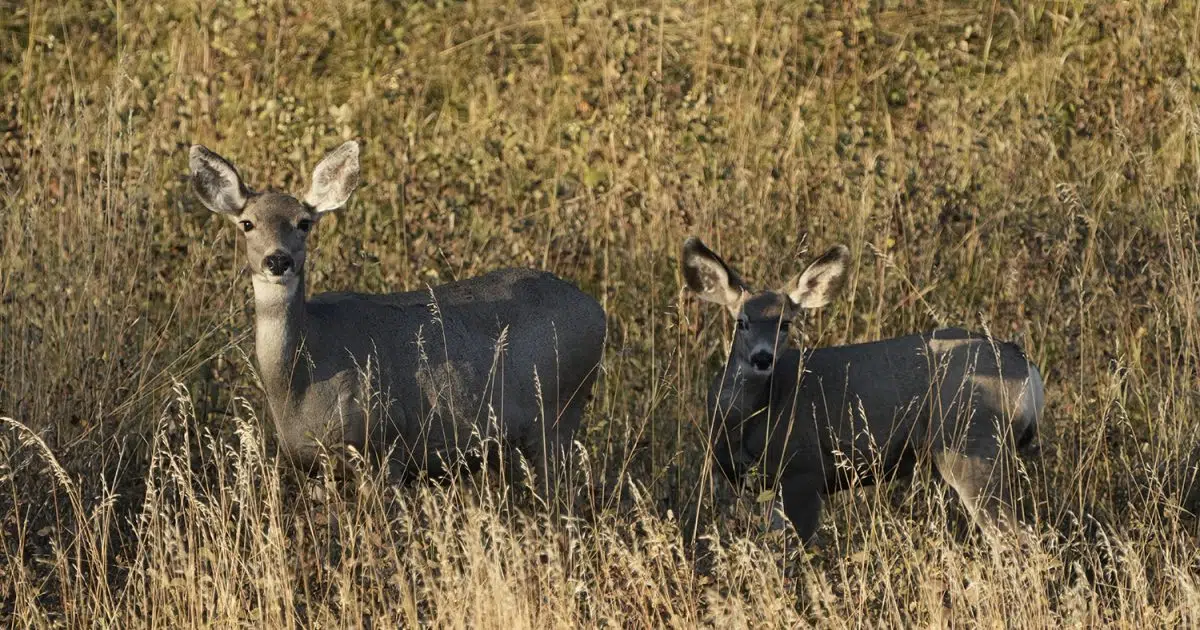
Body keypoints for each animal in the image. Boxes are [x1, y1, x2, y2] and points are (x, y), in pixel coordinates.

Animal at [188, 140, 606, 490]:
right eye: (247, 223)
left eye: (304, 223)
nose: (278, 260)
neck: (299, 381)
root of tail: (597, 311)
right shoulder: (317, 467)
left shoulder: (384, 443)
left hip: (557, 415)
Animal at [682, 237, 1044, 542]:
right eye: (741, 322)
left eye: (786, 323)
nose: (762, 357)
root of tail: (1027, 368)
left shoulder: (802, 469)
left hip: (972, 445)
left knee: (1016, 537)